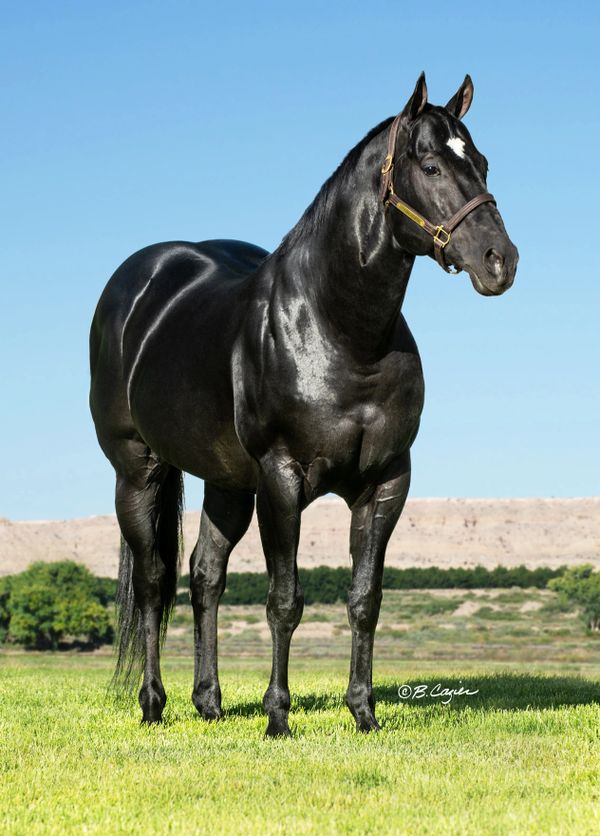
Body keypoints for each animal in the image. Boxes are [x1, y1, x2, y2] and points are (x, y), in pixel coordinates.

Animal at [89, 73, 518, 736]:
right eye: (431, 166)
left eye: (484, 163)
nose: (501, 261)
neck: (341, 331)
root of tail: (139, 283)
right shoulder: (282, 480)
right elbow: (284, 600)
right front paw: (278, 717)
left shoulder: (386, 482)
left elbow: (365, 600)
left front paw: (364, 713)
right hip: (138, 470)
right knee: (155, 583)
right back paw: (154, 703)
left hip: (227, 482)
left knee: (204, 575)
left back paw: (209, 702)